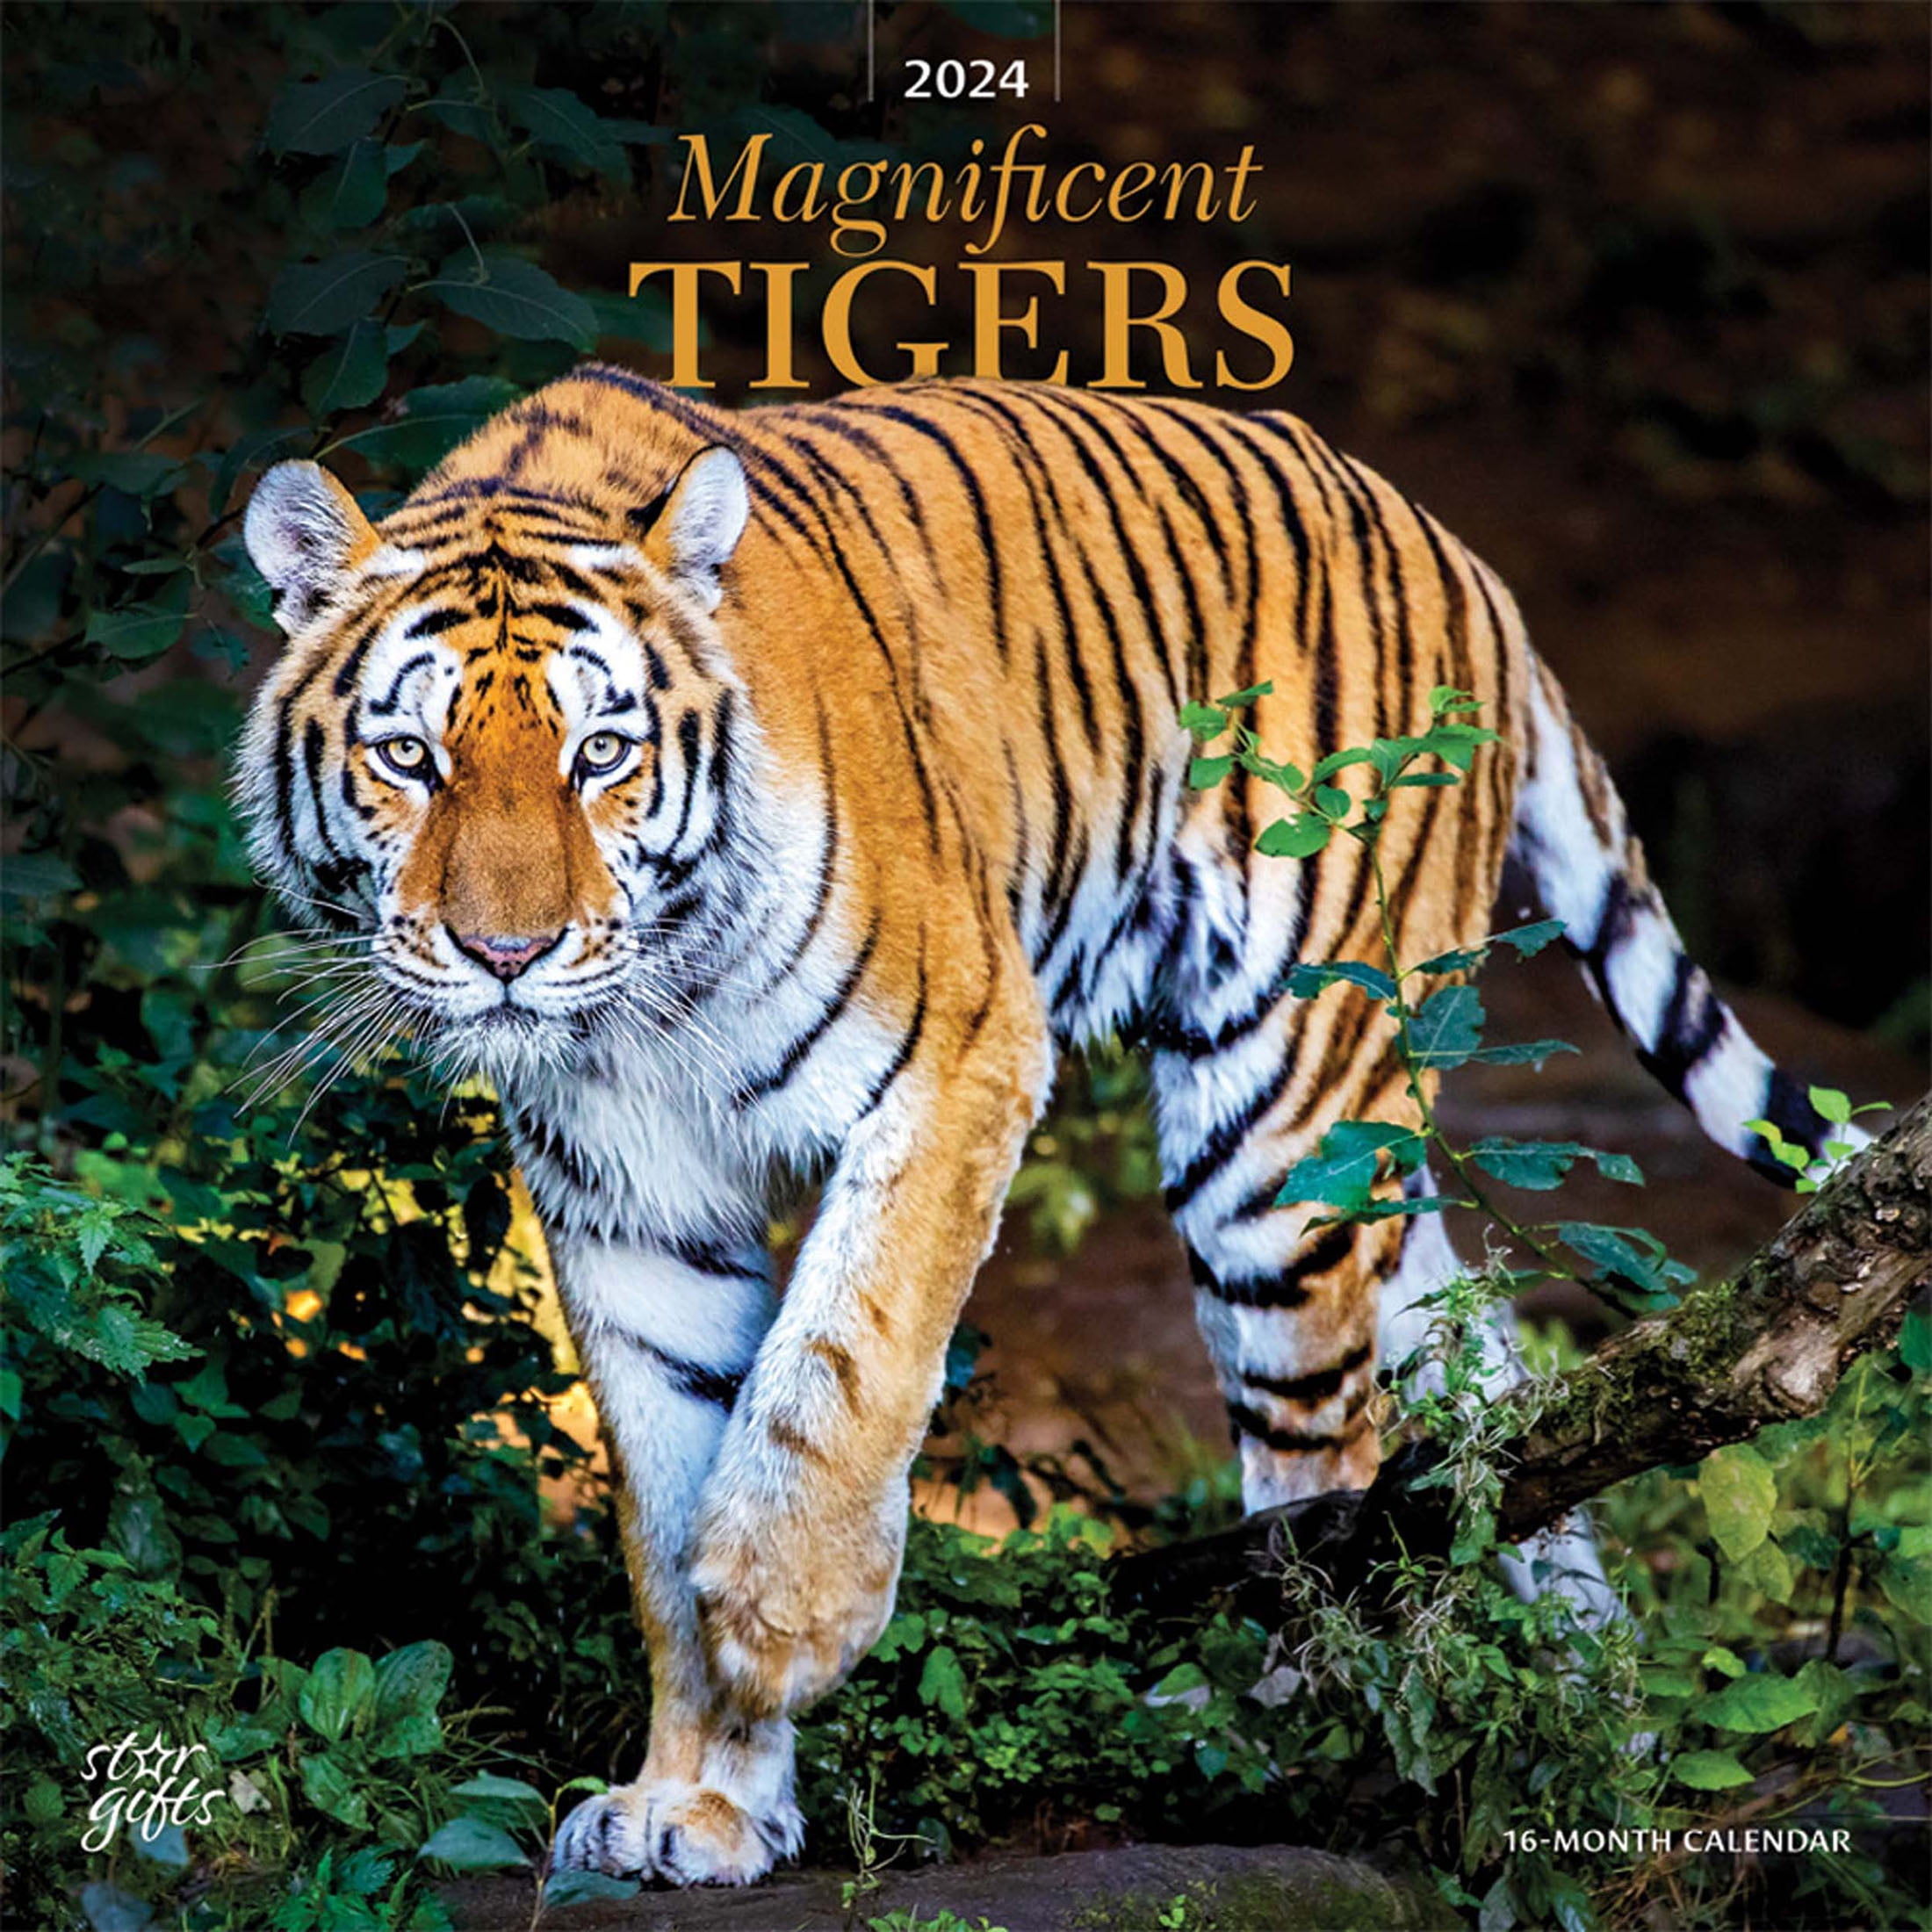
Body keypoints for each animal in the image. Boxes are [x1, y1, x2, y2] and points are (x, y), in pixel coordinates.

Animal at [239, 365, 1847, 1886]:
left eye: (599, 757)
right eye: (411, 760)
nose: (508, 954)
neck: (653, 1003)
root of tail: (1456, 549)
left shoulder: (959, 1052)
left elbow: (842, 1361)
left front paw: (789, 1620)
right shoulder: (630, 1195)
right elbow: (666, 1488)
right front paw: (702, 1800)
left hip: (1286, 1118)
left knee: (1325, 1458)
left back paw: (1240, 1746)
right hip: (1365, 1165)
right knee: (1484, 1376)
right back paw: (1599, 1715)